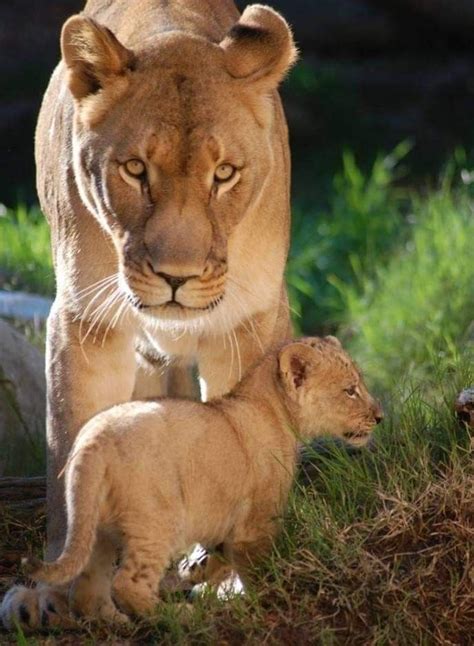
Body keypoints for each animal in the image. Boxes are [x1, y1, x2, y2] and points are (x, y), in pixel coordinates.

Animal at [0, 0, 298, 630]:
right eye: (135, 169)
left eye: (225, 174)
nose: (176, 279)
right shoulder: (86, 324)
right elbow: (70, 454)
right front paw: (59, 590)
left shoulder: (249, 324)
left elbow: (247, 444)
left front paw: (232, 578)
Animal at [23, 337, 383, 620]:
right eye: (350, 391)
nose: (380, 417)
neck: (271, 407)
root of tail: (94, 440)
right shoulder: (257, 522)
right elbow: (258, 566)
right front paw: (269, 596)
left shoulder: (226, 520)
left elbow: (217, 557)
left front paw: (193, 573)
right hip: (157, 520)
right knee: (127, 584)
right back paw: (178, 616)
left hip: (94, 526)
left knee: (85, 589)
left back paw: (114, 621)